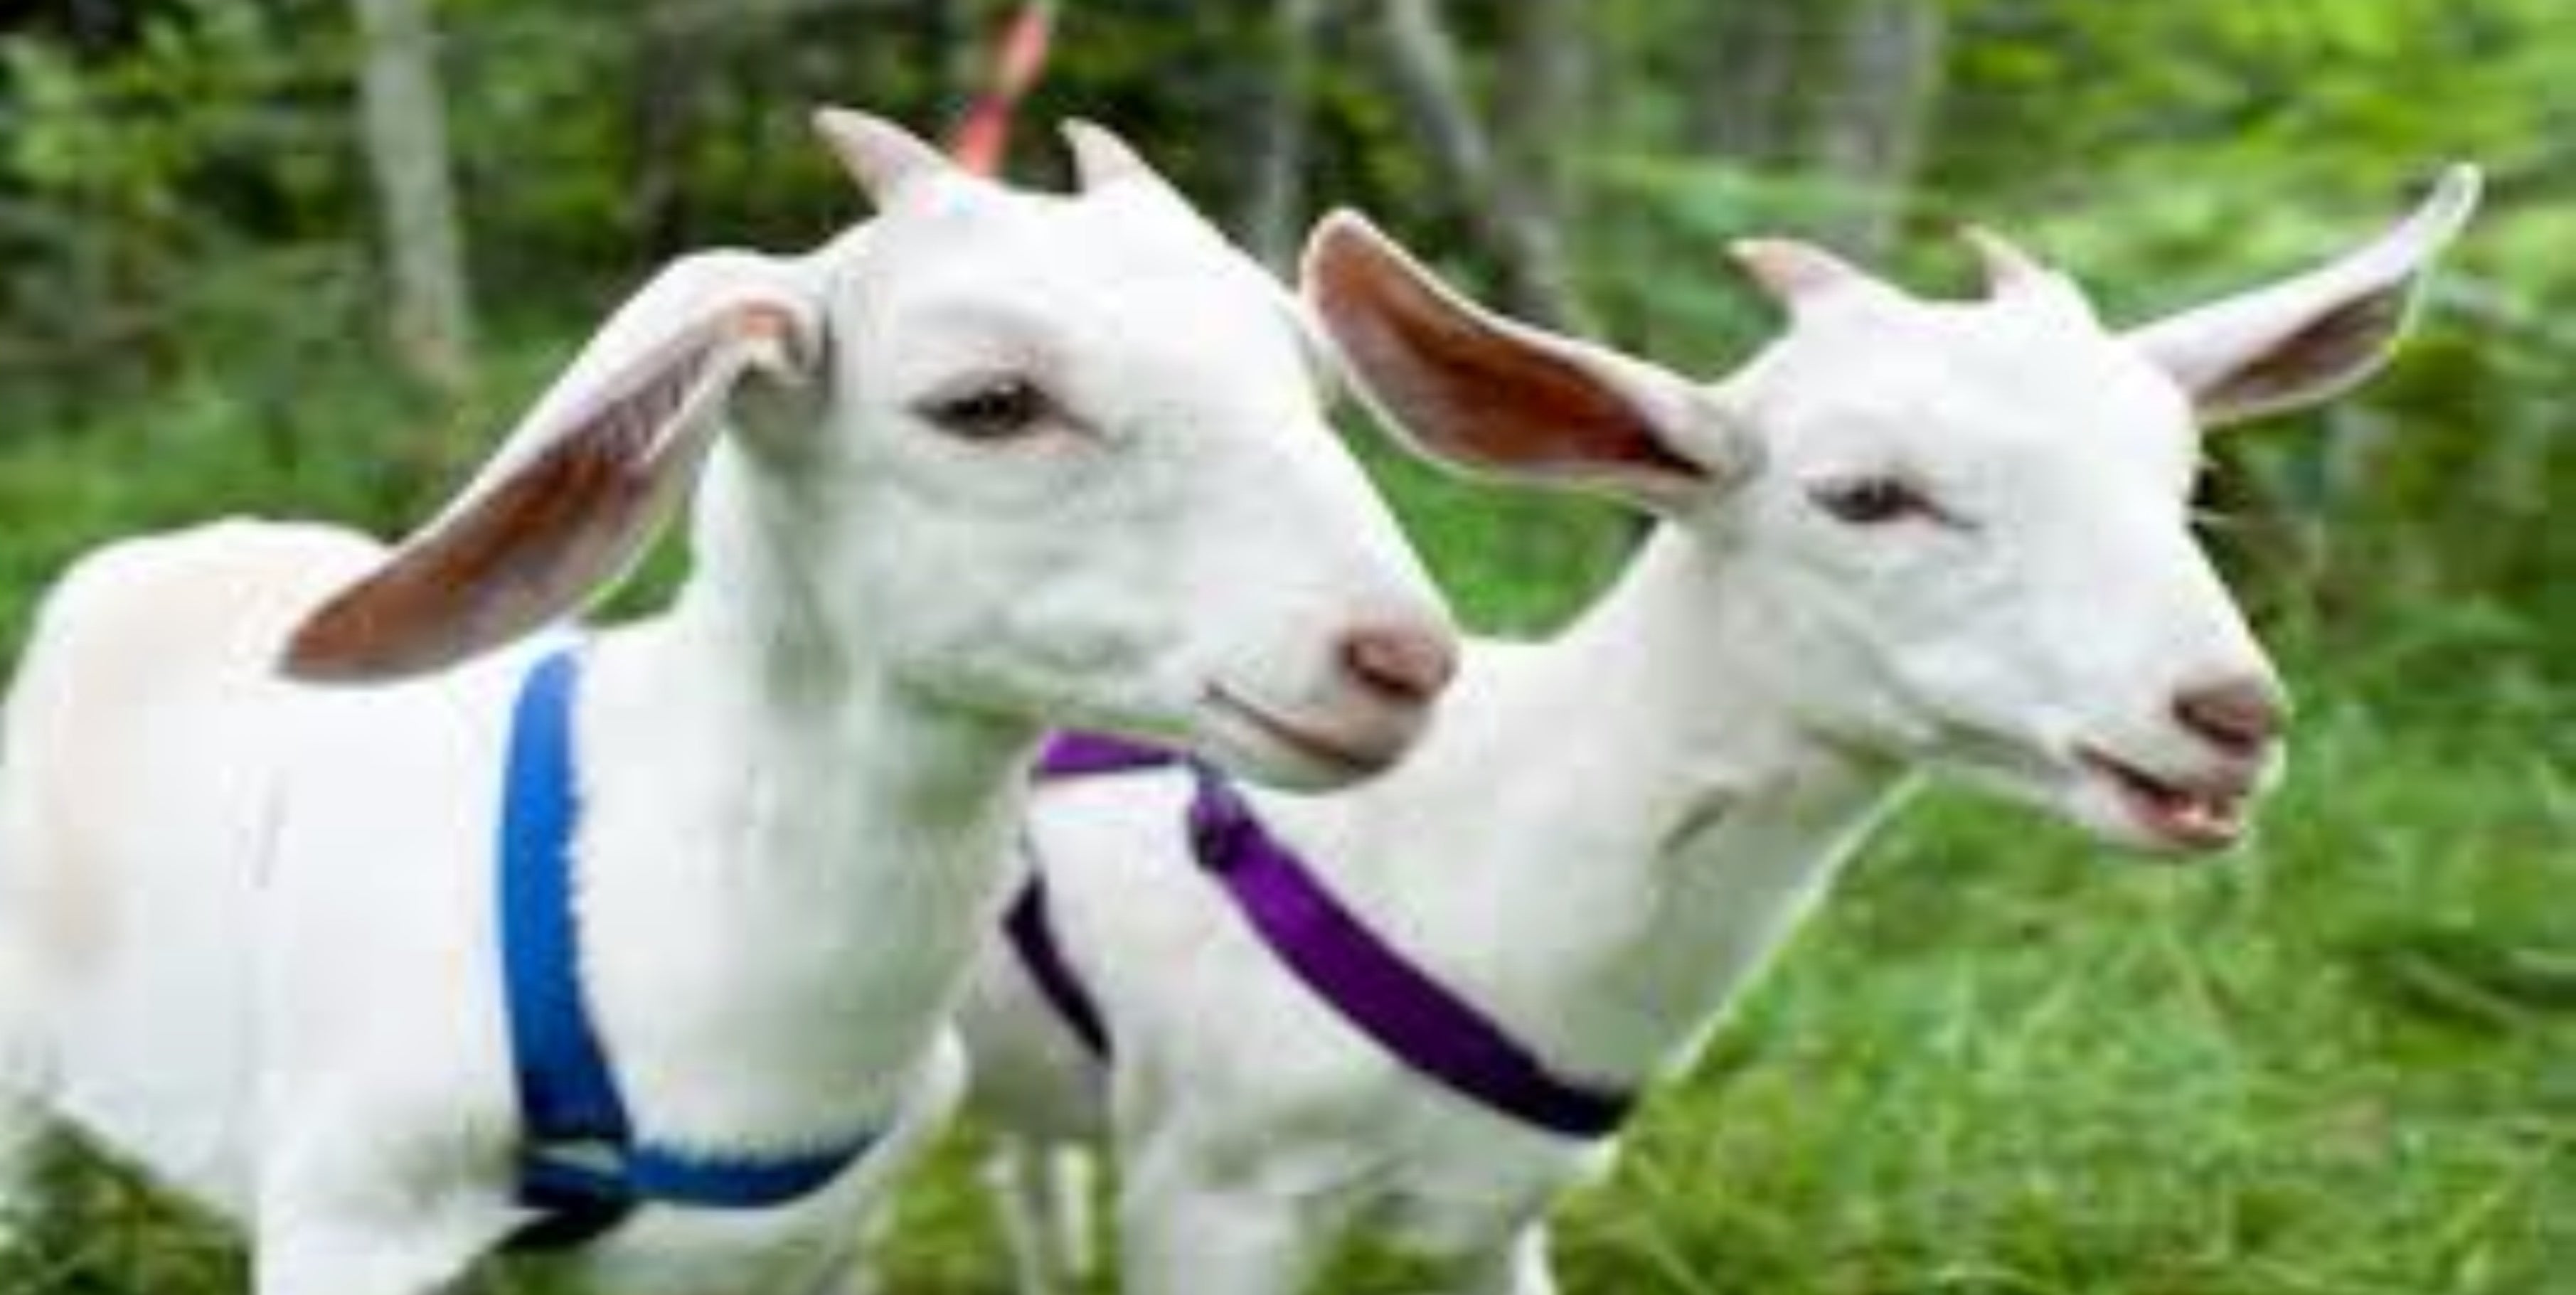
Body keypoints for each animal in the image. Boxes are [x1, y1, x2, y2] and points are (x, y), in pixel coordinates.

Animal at [0, 109, 1460, 1295]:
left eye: (1316, 384)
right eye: (988, 402)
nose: (1400, 660)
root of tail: (146, 562)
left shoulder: (798, 1250)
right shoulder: (353, 1209)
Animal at [954, 169, 2479, 1294]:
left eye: (2183, 477)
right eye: (1864, 495)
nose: (2228, 714)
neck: (1467, 863)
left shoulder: (1499, 1208)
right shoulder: (1219, 1190)